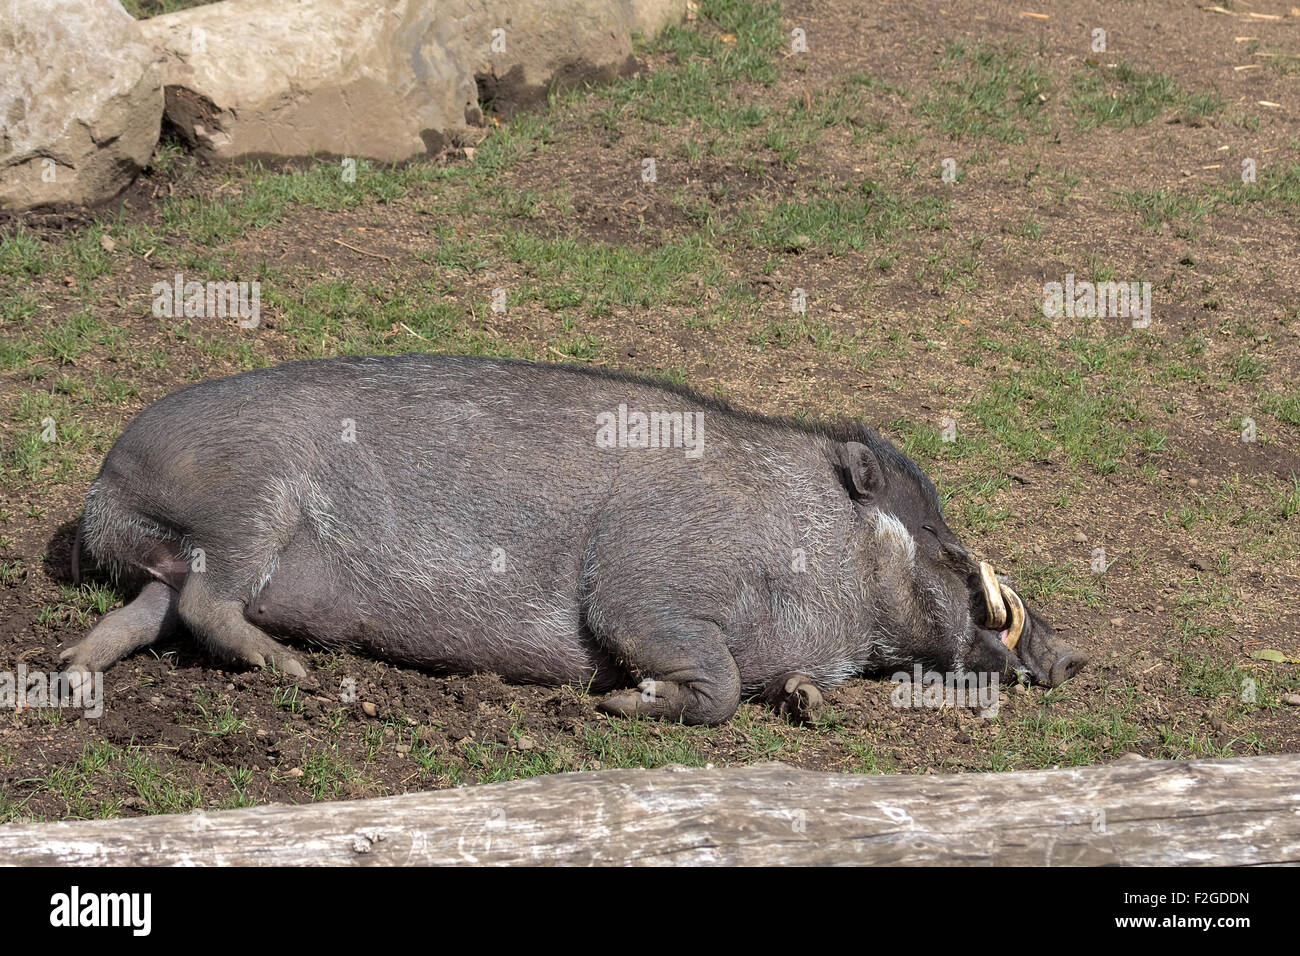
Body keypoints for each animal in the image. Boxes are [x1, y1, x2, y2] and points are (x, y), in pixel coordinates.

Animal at [65, 354, 1086, 725]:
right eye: (943, 548)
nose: (1073, 656)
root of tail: (103, 481)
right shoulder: (643, 591)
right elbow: (712, 686)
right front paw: (623, 702)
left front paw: (805, 702)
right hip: (249, 510)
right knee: (208, 603)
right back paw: (296, 674)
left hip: (176, 559)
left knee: (150, 612)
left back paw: (72, 675)